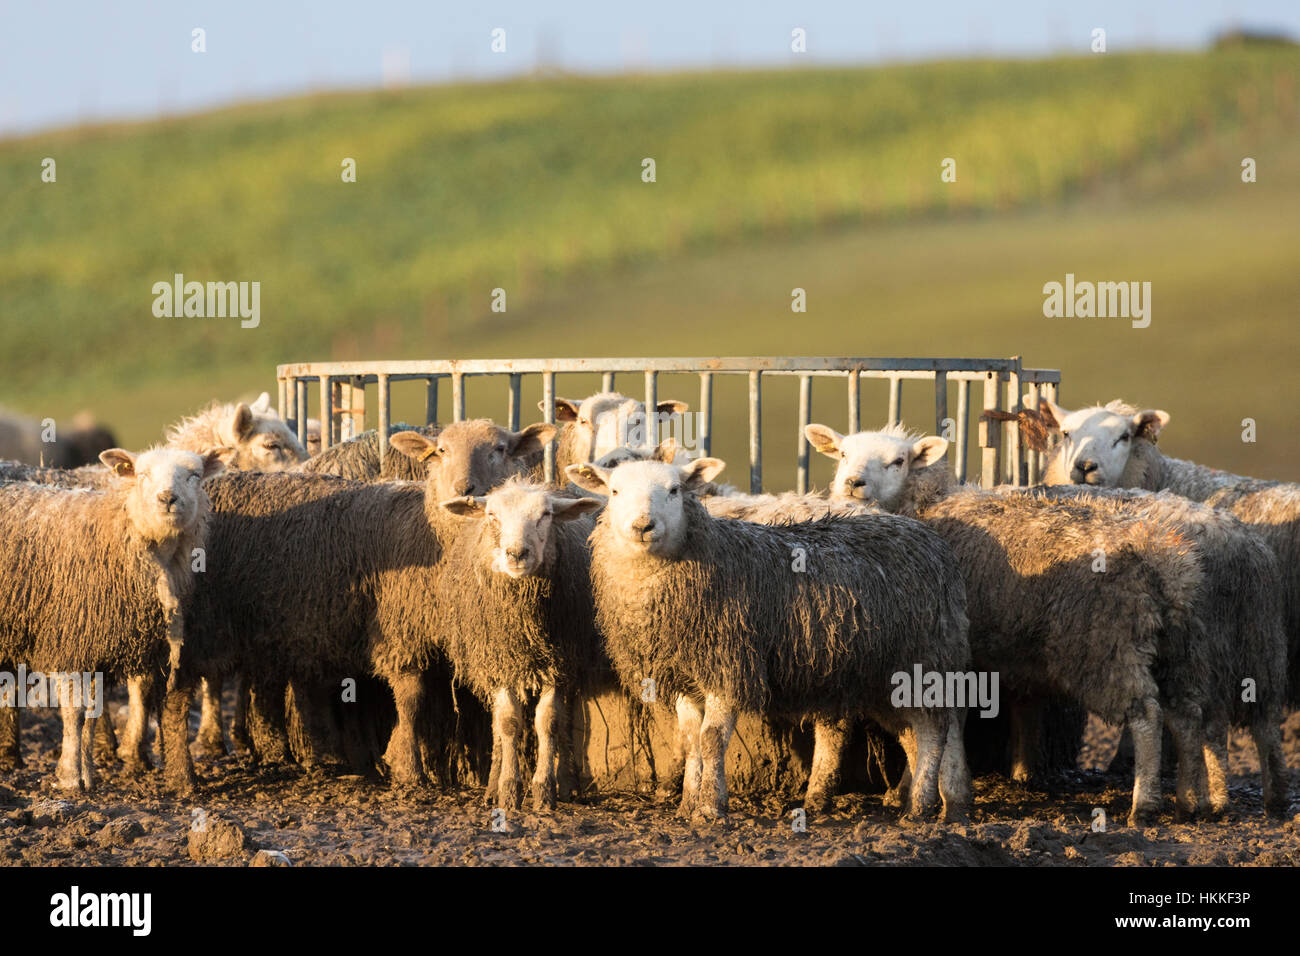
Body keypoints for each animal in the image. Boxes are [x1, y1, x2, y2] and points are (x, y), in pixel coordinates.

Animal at [0, 447, 221, 791]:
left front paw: (88, 774)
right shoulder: (70, 641)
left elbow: (93, 712)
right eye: (142, 475)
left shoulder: (100, 648)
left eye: (194, 475)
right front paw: (69, 777)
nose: (167, 498)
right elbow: (74, 713)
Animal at [436, 477, 607, 809]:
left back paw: (566, 784)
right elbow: (508, 724)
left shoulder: (557, 663)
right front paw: (509, 788)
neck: (525, 623)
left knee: (564, 719)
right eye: (492, 515)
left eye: (546, 515)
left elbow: (548, 722)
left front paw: (544, 790)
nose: (516, 554)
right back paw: (492, 786)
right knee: (496, 725)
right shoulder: (501, 661)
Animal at [567, 455, 972, 823]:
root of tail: (926, 535)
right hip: (874, 674)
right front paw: (687, 805)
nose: (643, 526)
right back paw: (920, 799)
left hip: (921, 659)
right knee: (911, 733)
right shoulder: (685, 675)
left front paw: (711, 808)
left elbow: (711, 740)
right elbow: (691, 741)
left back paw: (922, 805)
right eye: (614, 491)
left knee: (935, 730)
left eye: (674, 490)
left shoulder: (728, 666)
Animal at [806, 422, 1217, 824]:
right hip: (1179, 645)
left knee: (1147, 714)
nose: (854, 483)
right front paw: (920, 789)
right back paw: (1191, 800)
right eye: (843, 453)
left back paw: (1144, 805)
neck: (924, 505)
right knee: (1186, 714)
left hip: (1104, 643)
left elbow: (945, 722)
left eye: (898, 461)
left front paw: (942, 792)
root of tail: (1164, 560)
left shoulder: (948, 648)